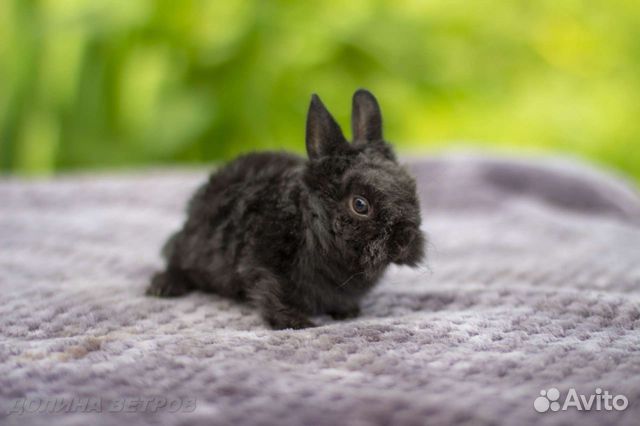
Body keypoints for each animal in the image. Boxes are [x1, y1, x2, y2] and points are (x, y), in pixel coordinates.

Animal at [146, 89, 425, 329]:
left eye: (411, 188)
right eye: (360, 204)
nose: (405, 239)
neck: (310, 227)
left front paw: (347, 312)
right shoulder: (263, 265)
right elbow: (272, 294)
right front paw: (297, 323)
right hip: (192, 248)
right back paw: (163, 287)